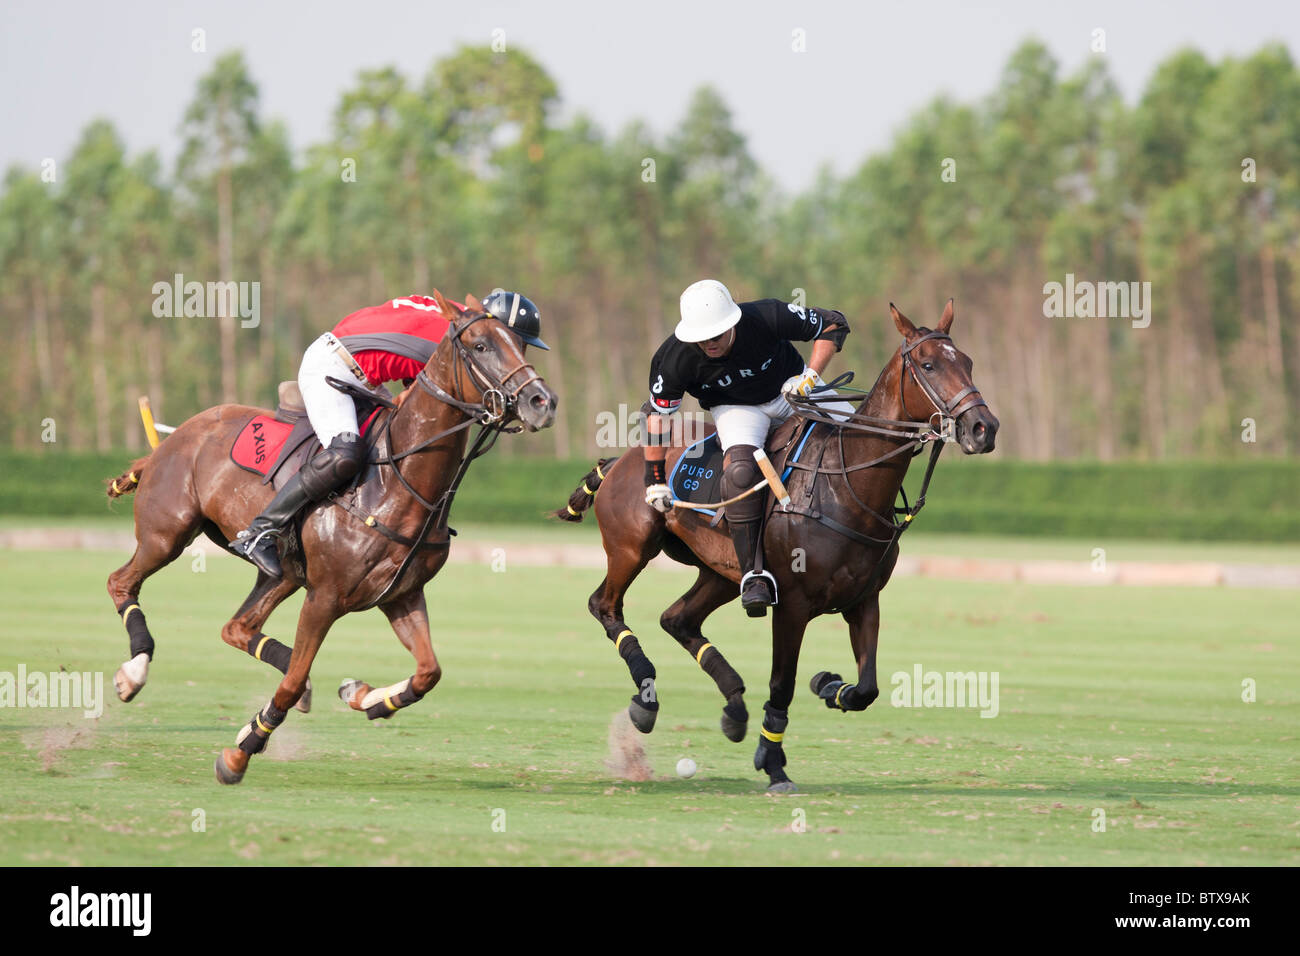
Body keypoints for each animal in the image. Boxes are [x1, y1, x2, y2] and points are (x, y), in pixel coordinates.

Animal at [104, 290, 558, 784]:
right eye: (480, 345)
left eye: (522, 344)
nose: (542, 401)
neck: (399, 482)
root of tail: (170, 441)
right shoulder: (324, 597)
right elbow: (289, 686)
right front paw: (239, 755)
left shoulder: (401, 595)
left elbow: (428, 672)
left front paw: (365, 696)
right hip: (167, 533)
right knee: (121, 582)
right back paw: (133, 671)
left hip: (282, 574)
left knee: (238, 627)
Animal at [555, 301, 998, 791]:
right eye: (928, 364)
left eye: (968, 362)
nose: (984, 428)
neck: (849, 485)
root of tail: (623, 459)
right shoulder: (793, 604)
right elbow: (782, 684)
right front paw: (773, 762)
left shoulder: (865, 600)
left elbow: (867, 688)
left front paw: (828, 685)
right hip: (633, 547)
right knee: (606, 605)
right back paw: (646, 699)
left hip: (721, 571)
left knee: (678, 619)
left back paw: (733, 706)